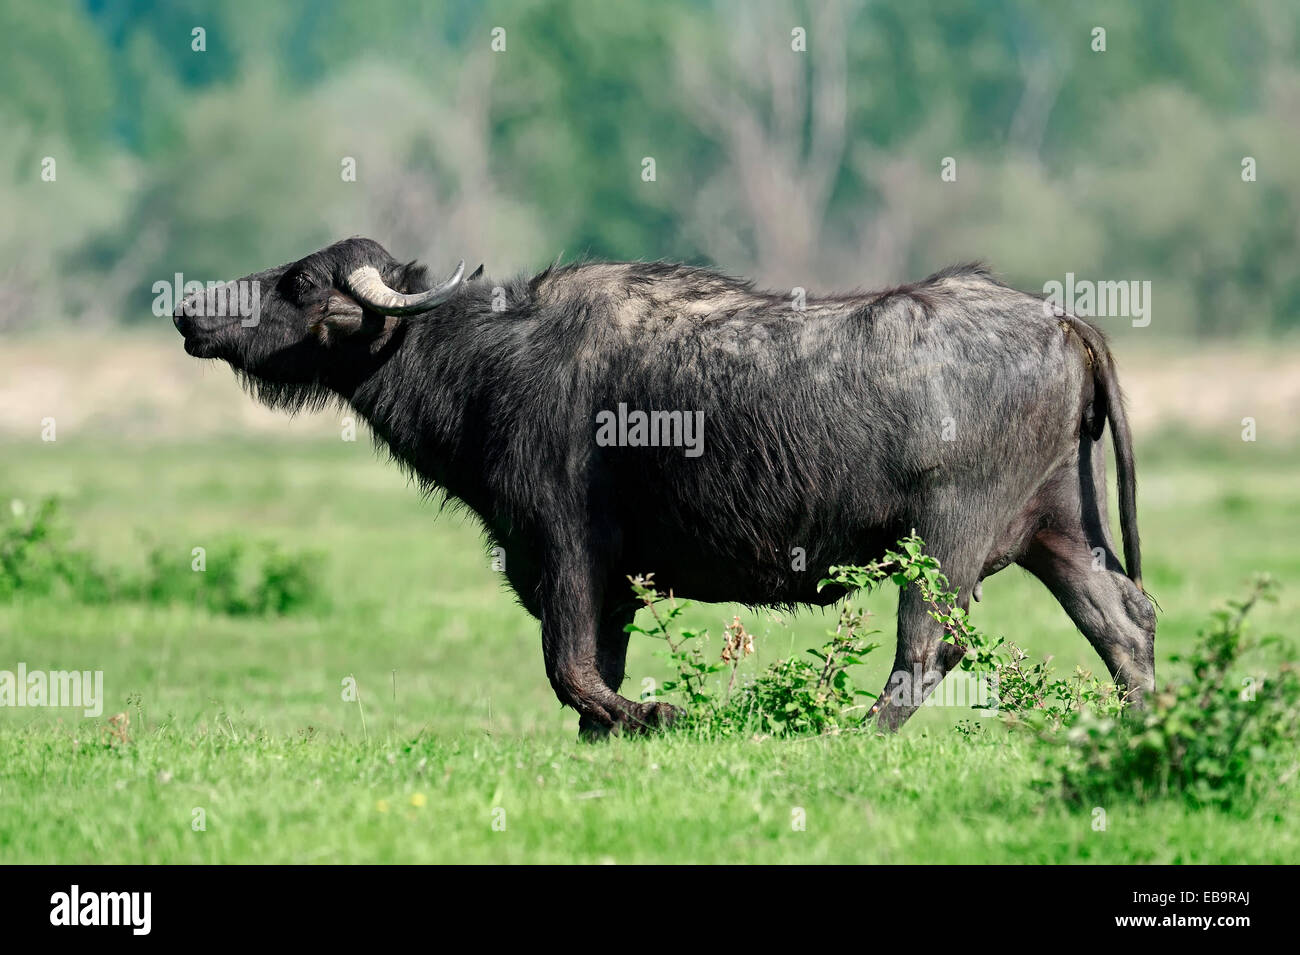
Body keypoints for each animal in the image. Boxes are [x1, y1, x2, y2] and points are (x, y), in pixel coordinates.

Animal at [173, 236, 1156, 735]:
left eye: (300, 281)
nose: (187, 310)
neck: (491, 363)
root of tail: (1060, 320)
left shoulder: (567, 548)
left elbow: (571, 670)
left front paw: (660, 710)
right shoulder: (608, 584)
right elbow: (589, 676)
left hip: (942, 544)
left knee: (926, 652)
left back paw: (843, 733)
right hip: (1060, 532)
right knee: (1125, 622)